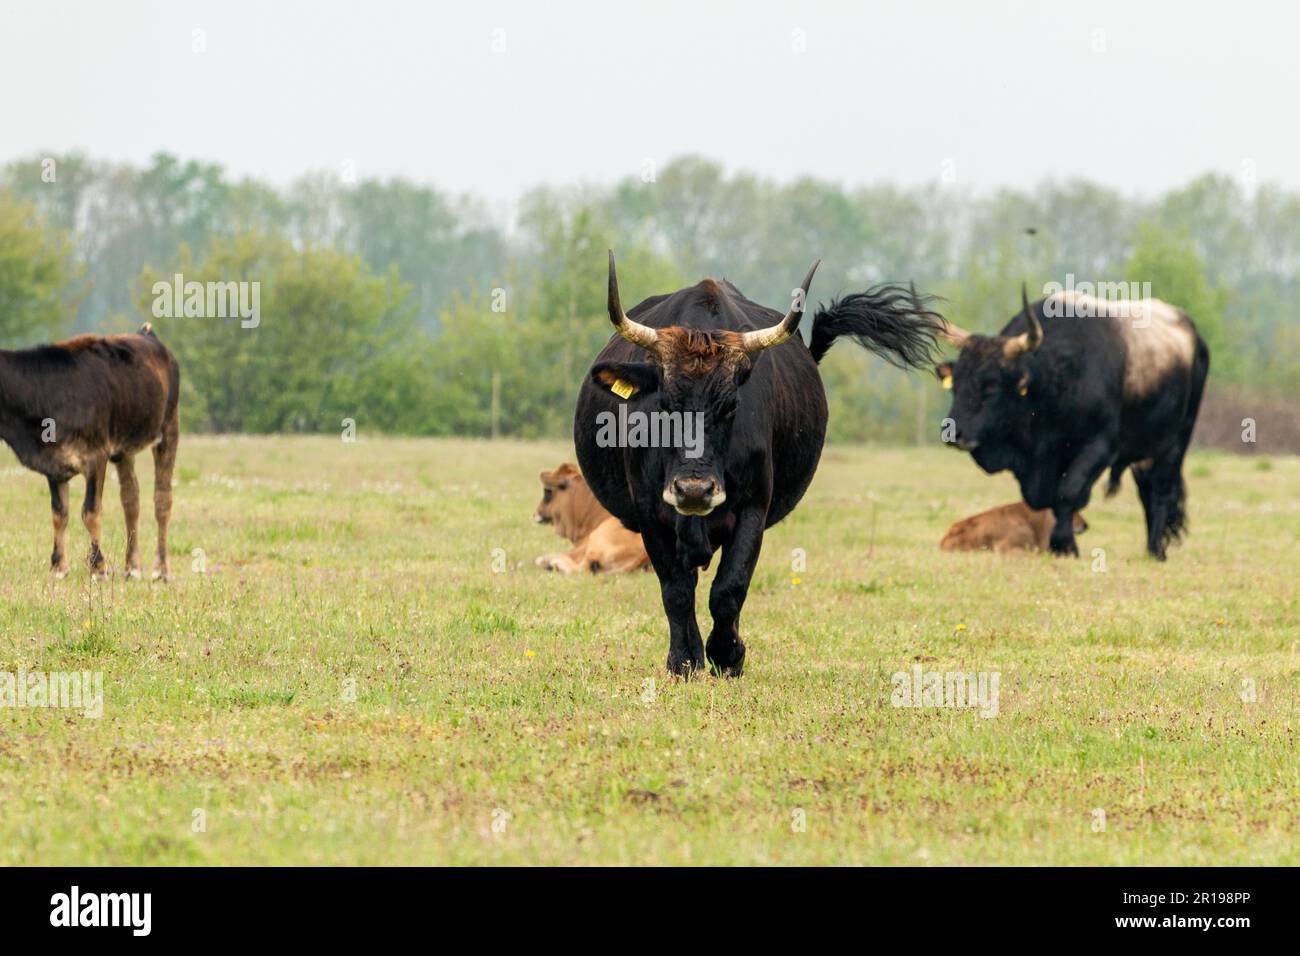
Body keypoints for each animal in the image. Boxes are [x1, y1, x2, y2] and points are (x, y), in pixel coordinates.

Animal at [0, 323, 180, 580]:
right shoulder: (54, 467)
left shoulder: (96, 457)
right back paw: (132, 567)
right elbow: (59, 514)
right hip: (124, 450)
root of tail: (146, 333)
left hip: (168, 429)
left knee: (162, 500)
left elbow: (90, 511)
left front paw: (98, 567)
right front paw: (58, 567)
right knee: (131, 499)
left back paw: (161, 569)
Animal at [575, 252, 944, 676]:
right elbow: (677, 591)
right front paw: (684, 660)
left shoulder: (753, 508)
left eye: (731, 405)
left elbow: (729, 589)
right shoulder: (650, 511)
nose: (694, 490)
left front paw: (727, 655)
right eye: (664, 405)